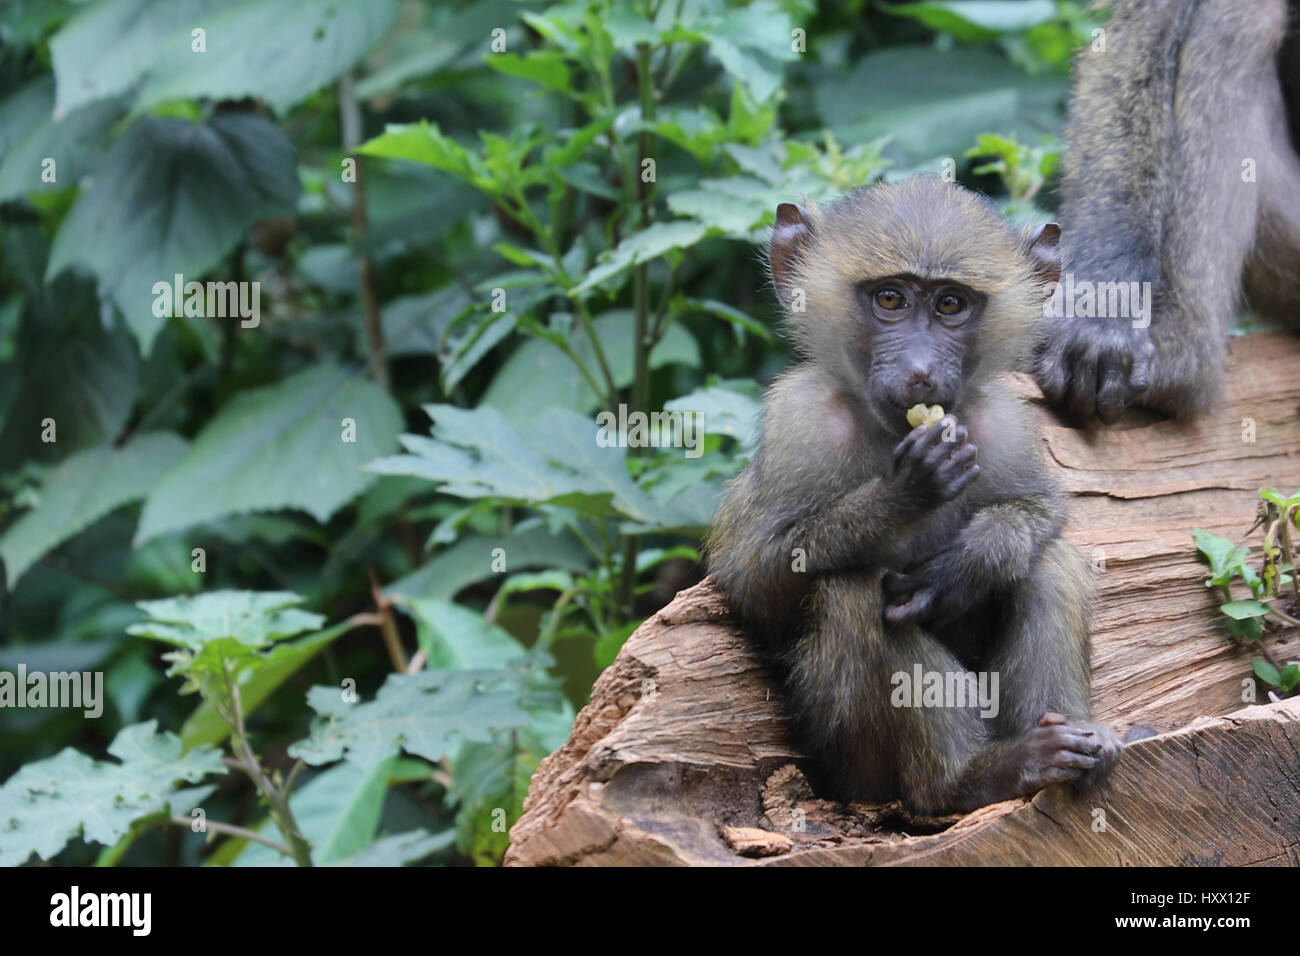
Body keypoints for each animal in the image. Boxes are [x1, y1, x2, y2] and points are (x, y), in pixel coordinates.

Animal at [706, 178, 1124, 815]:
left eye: (950, 305)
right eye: (891, 299)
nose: (923, 372)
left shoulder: (1001, 420)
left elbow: (1042, 512)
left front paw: (974, 561)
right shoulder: (800, 422)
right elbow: (755, 577)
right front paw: (904, 494)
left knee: (1049, 564)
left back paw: (1065, 748)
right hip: (855, 771)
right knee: (853, 588)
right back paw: (969, 778)